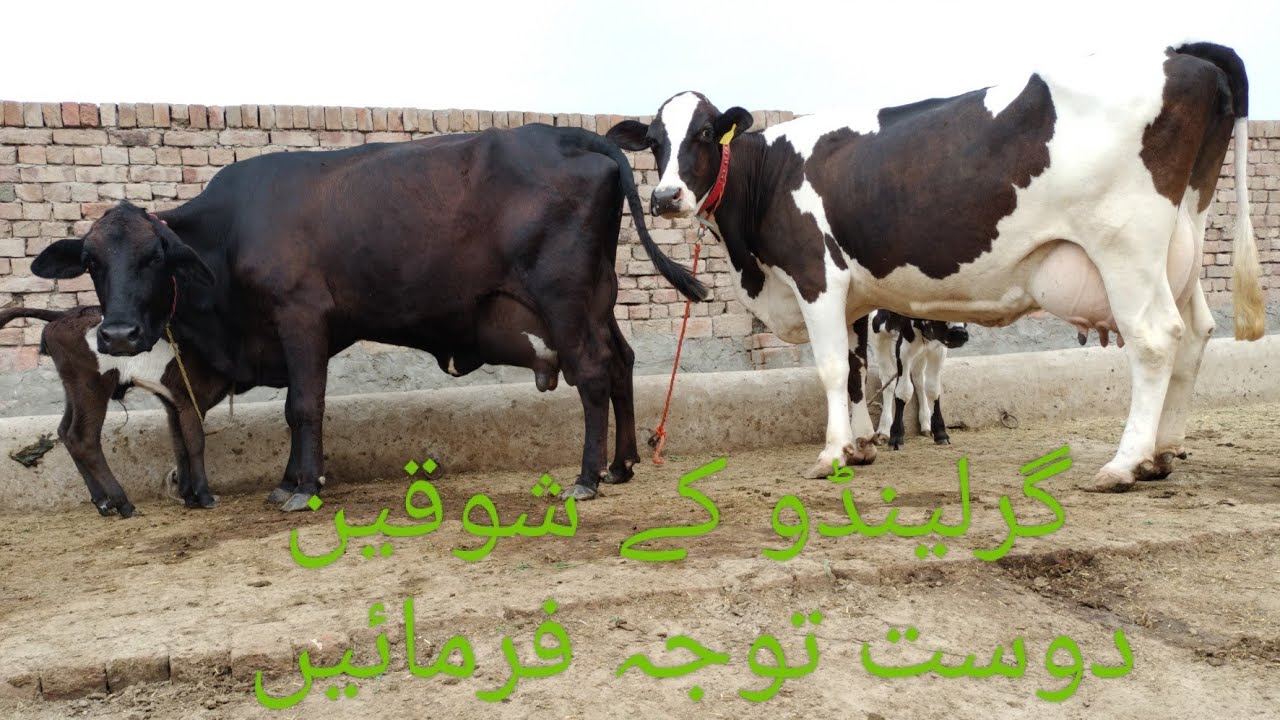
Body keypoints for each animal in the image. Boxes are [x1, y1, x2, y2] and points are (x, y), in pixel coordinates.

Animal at [0, 305, 232, 517]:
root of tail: (64, 314)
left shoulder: (174, 403)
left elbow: (180, 444)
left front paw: (189, 496)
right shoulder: (192, 398)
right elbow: (195, 443)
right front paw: (204, 496)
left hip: (74, 389)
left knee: (65, 431)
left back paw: (103, 502)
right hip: (92, 387)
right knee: (83, 439)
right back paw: (123, 504)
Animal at [30, 125, 708, 510]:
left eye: (156, 256)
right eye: (90, 260)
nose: (117, 334)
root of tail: (569, 134)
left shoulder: (301, 316)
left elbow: (302, 406)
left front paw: (303, 488)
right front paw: (295, 479)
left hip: (564, 297)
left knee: (592, 374)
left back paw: (588, 476)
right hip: (598, 298)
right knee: (621, 364)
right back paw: (621, 465)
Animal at [869, 310, 968, 449]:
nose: (959, 333)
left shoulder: (939, 349)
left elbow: (933, 389)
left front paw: (940, 433)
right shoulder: (902, 347)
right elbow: (904, 391)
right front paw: (896, 436)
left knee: (919, 379)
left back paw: (926, 423)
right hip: (879, 338)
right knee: (888, 380)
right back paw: (884, 429)